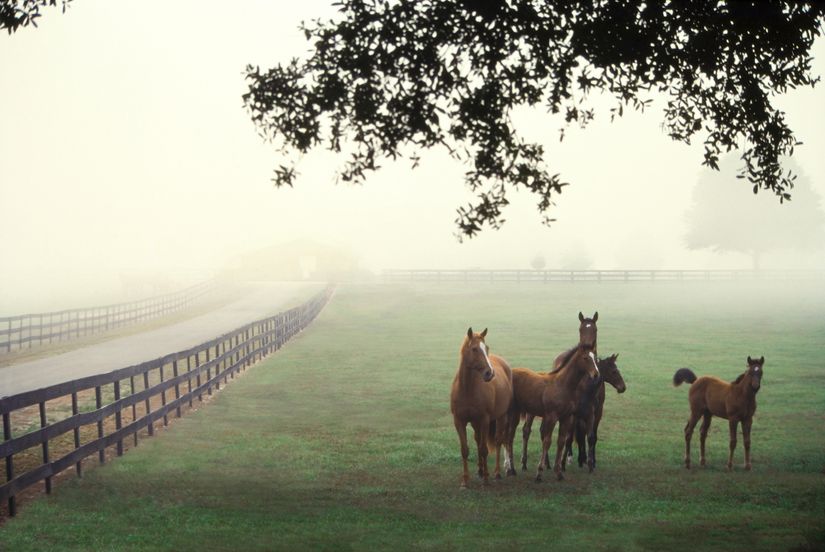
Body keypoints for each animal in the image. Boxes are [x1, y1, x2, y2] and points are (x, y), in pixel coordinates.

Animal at [450, 327, 515, 488]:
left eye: (487, 348)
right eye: (474, 349)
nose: (489, 373)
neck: (467, 389)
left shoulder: (484, 420)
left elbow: (484, 449)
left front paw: (486, 479)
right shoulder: (459, 421)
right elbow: (465, 450)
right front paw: (465, 481)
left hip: (501, 417)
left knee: (498, 441)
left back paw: (496, 473)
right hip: (475, 423)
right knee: (478, 439)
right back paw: (480, 470)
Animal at [507, 343, 600, 482]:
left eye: (595, 358)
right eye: (585, 358)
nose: (596, 374)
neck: (562, 385)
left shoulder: (566, 418)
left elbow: (561, 441)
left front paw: (558, 472)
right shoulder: (552, 417)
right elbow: (547, 441)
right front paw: (539, 473)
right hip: (513, 413)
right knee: (509, 436)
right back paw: (511, 469)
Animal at [519, 311, 598, 471]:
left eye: (595, 329)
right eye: (580, 329)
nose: (596, 374)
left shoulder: (584, 413)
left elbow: (580, 438)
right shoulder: (564, 414)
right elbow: (559, 438)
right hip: (531, 413)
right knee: (526, 431)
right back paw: (524, 463)